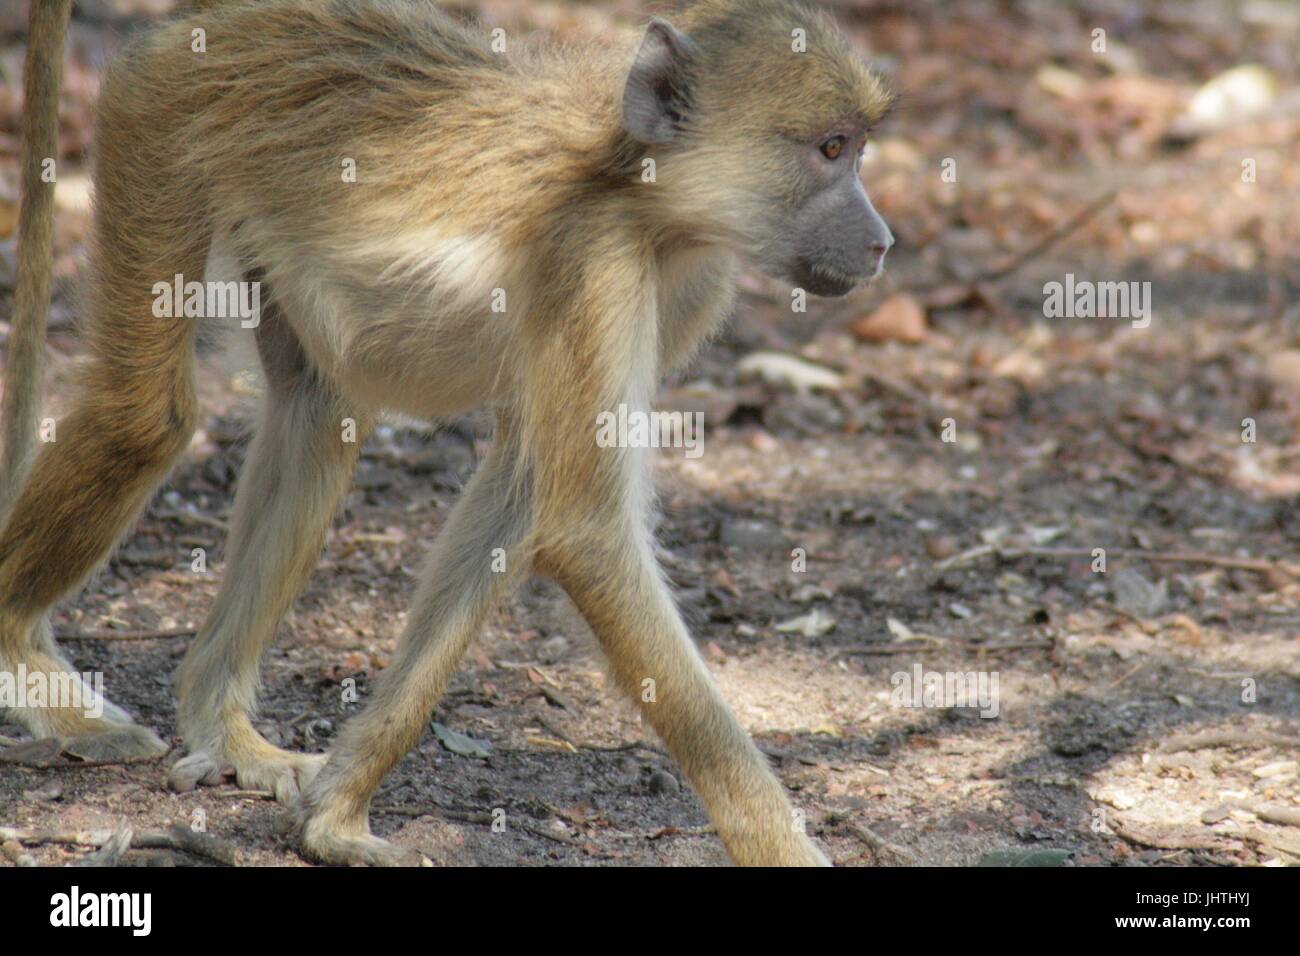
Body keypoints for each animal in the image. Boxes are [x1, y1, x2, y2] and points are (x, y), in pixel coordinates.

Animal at [0, 0, 894, 866]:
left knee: (317, 414)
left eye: (856, 150)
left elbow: (517, 493)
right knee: (145, 419)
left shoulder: (682, 287)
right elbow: (584, 533)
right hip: (158, 121)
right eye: (831, 149)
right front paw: (781, 848)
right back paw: (22, 655)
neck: (645, 196)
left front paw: (337, 812)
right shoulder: (595, 265)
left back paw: (219, 724)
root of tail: (215, 30)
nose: (883, 240)